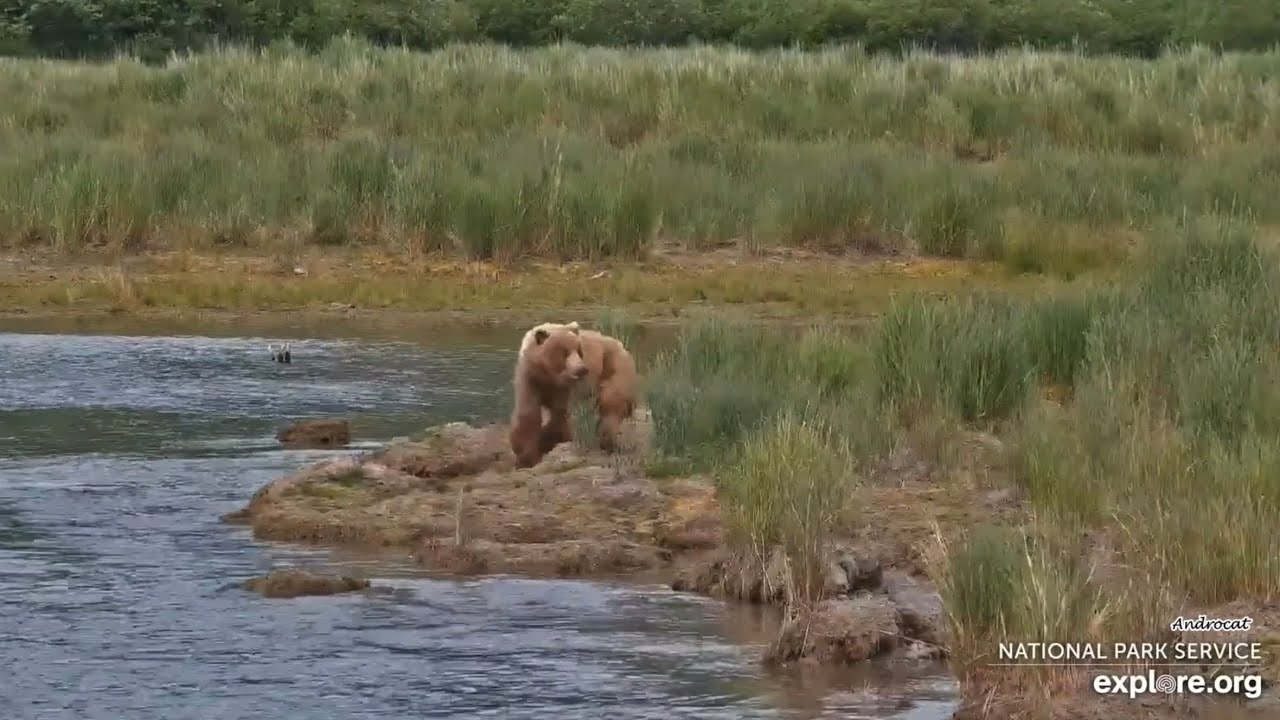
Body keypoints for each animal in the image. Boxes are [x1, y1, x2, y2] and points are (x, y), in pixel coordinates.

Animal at [509, 321, 638, 468]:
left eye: (579, 350)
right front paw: (526, 457)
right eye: (563, 351)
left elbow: (563, 416)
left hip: (613, 366)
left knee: (611, 403)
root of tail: (623, 346)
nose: (582, 369)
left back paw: (607, 438)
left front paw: (548, 441)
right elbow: (528, 415)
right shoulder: (530, 379)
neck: (548, 376)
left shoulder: (569, 388)